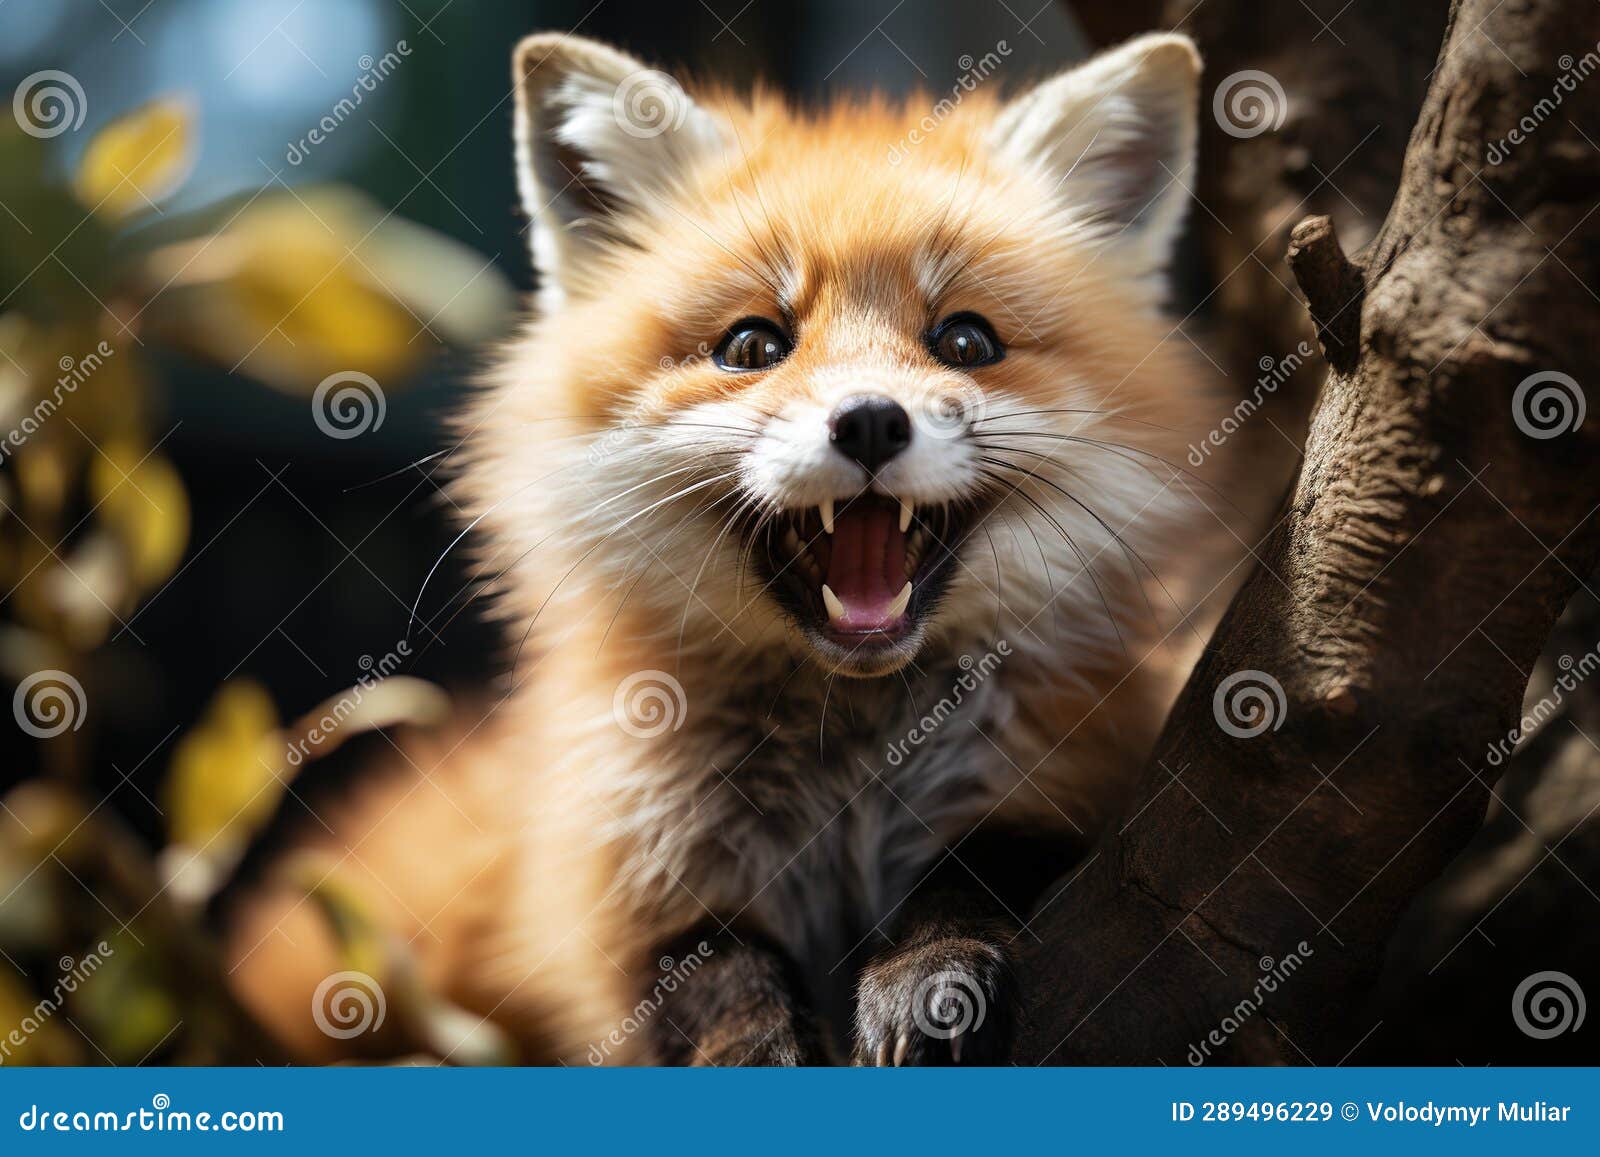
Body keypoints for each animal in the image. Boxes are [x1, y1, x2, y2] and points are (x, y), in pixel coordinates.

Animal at [224, 28, 1238, 1065]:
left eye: (965, 340)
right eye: (753, 345)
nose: (869, 422)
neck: (846, 770)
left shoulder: (1070, 781)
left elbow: (976, 870)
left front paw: (931, 974)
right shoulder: (619, 892)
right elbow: (713, 979)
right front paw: (757, 1044)